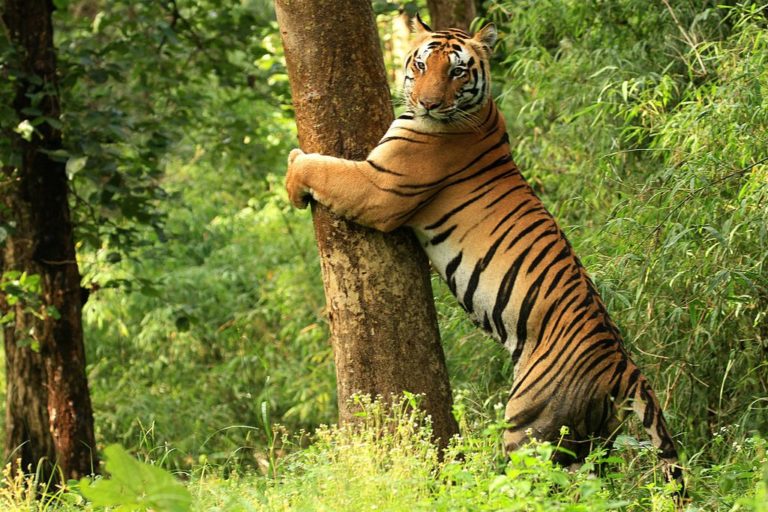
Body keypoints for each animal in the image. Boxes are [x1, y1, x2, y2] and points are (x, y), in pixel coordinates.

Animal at [285, 14, 685, 494]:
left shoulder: (378, 187)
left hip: (530, 428)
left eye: (457, 71)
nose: (429, 104)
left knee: (537, 487)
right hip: (593, 441)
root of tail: (622, 365)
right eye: (421, 65)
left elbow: (322, 167)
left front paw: (292, 175)